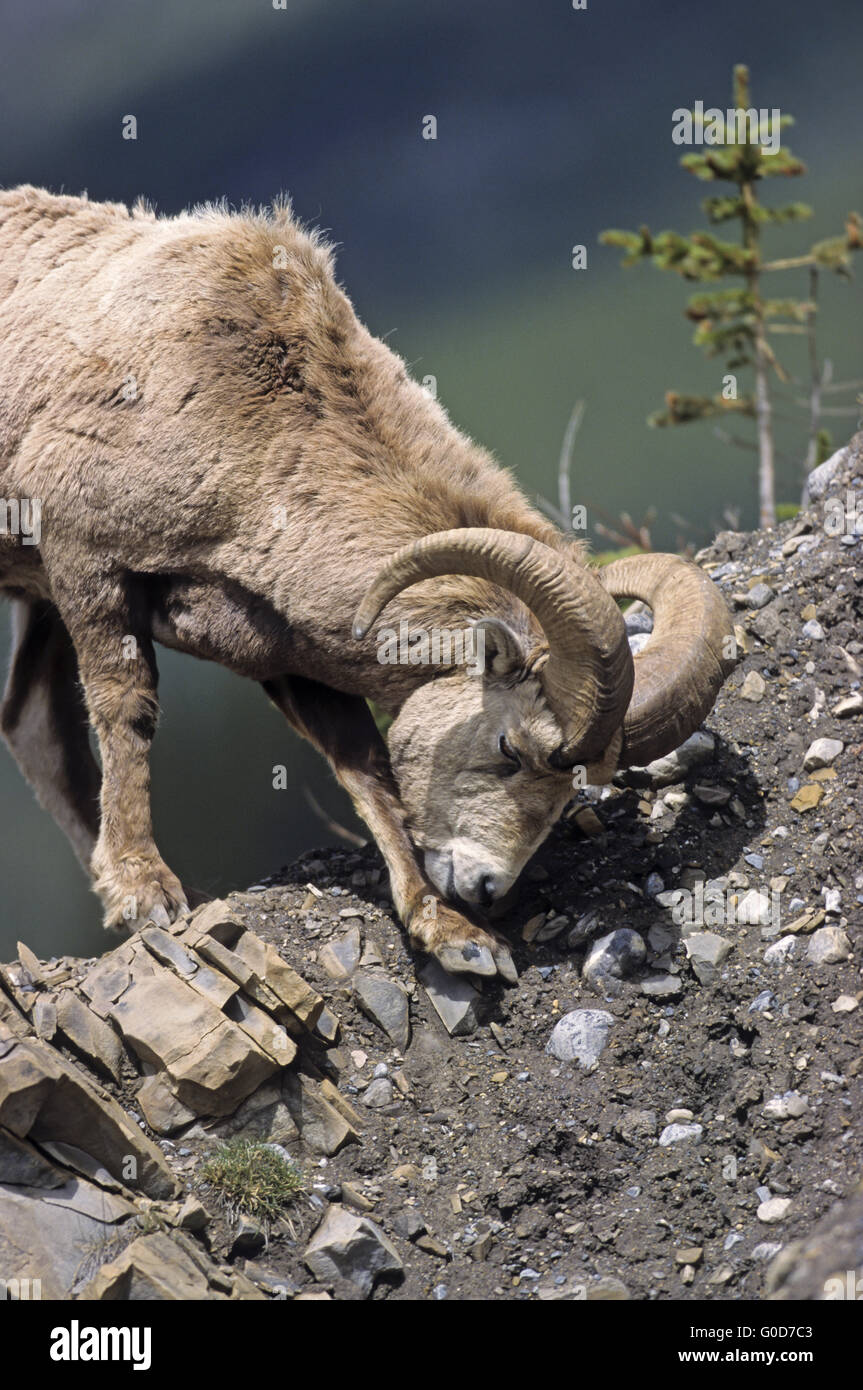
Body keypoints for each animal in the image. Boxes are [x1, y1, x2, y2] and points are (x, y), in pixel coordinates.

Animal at [0, 186, 735, 981]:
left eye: (572, 786)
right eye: (510, 750)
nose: (485, 886)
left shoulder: (289, 660)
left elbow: (367, 772)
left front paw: (455, 938)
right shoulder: (87, 559)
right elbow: (128, 710)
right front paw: (144, 894)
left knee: (31, 726)